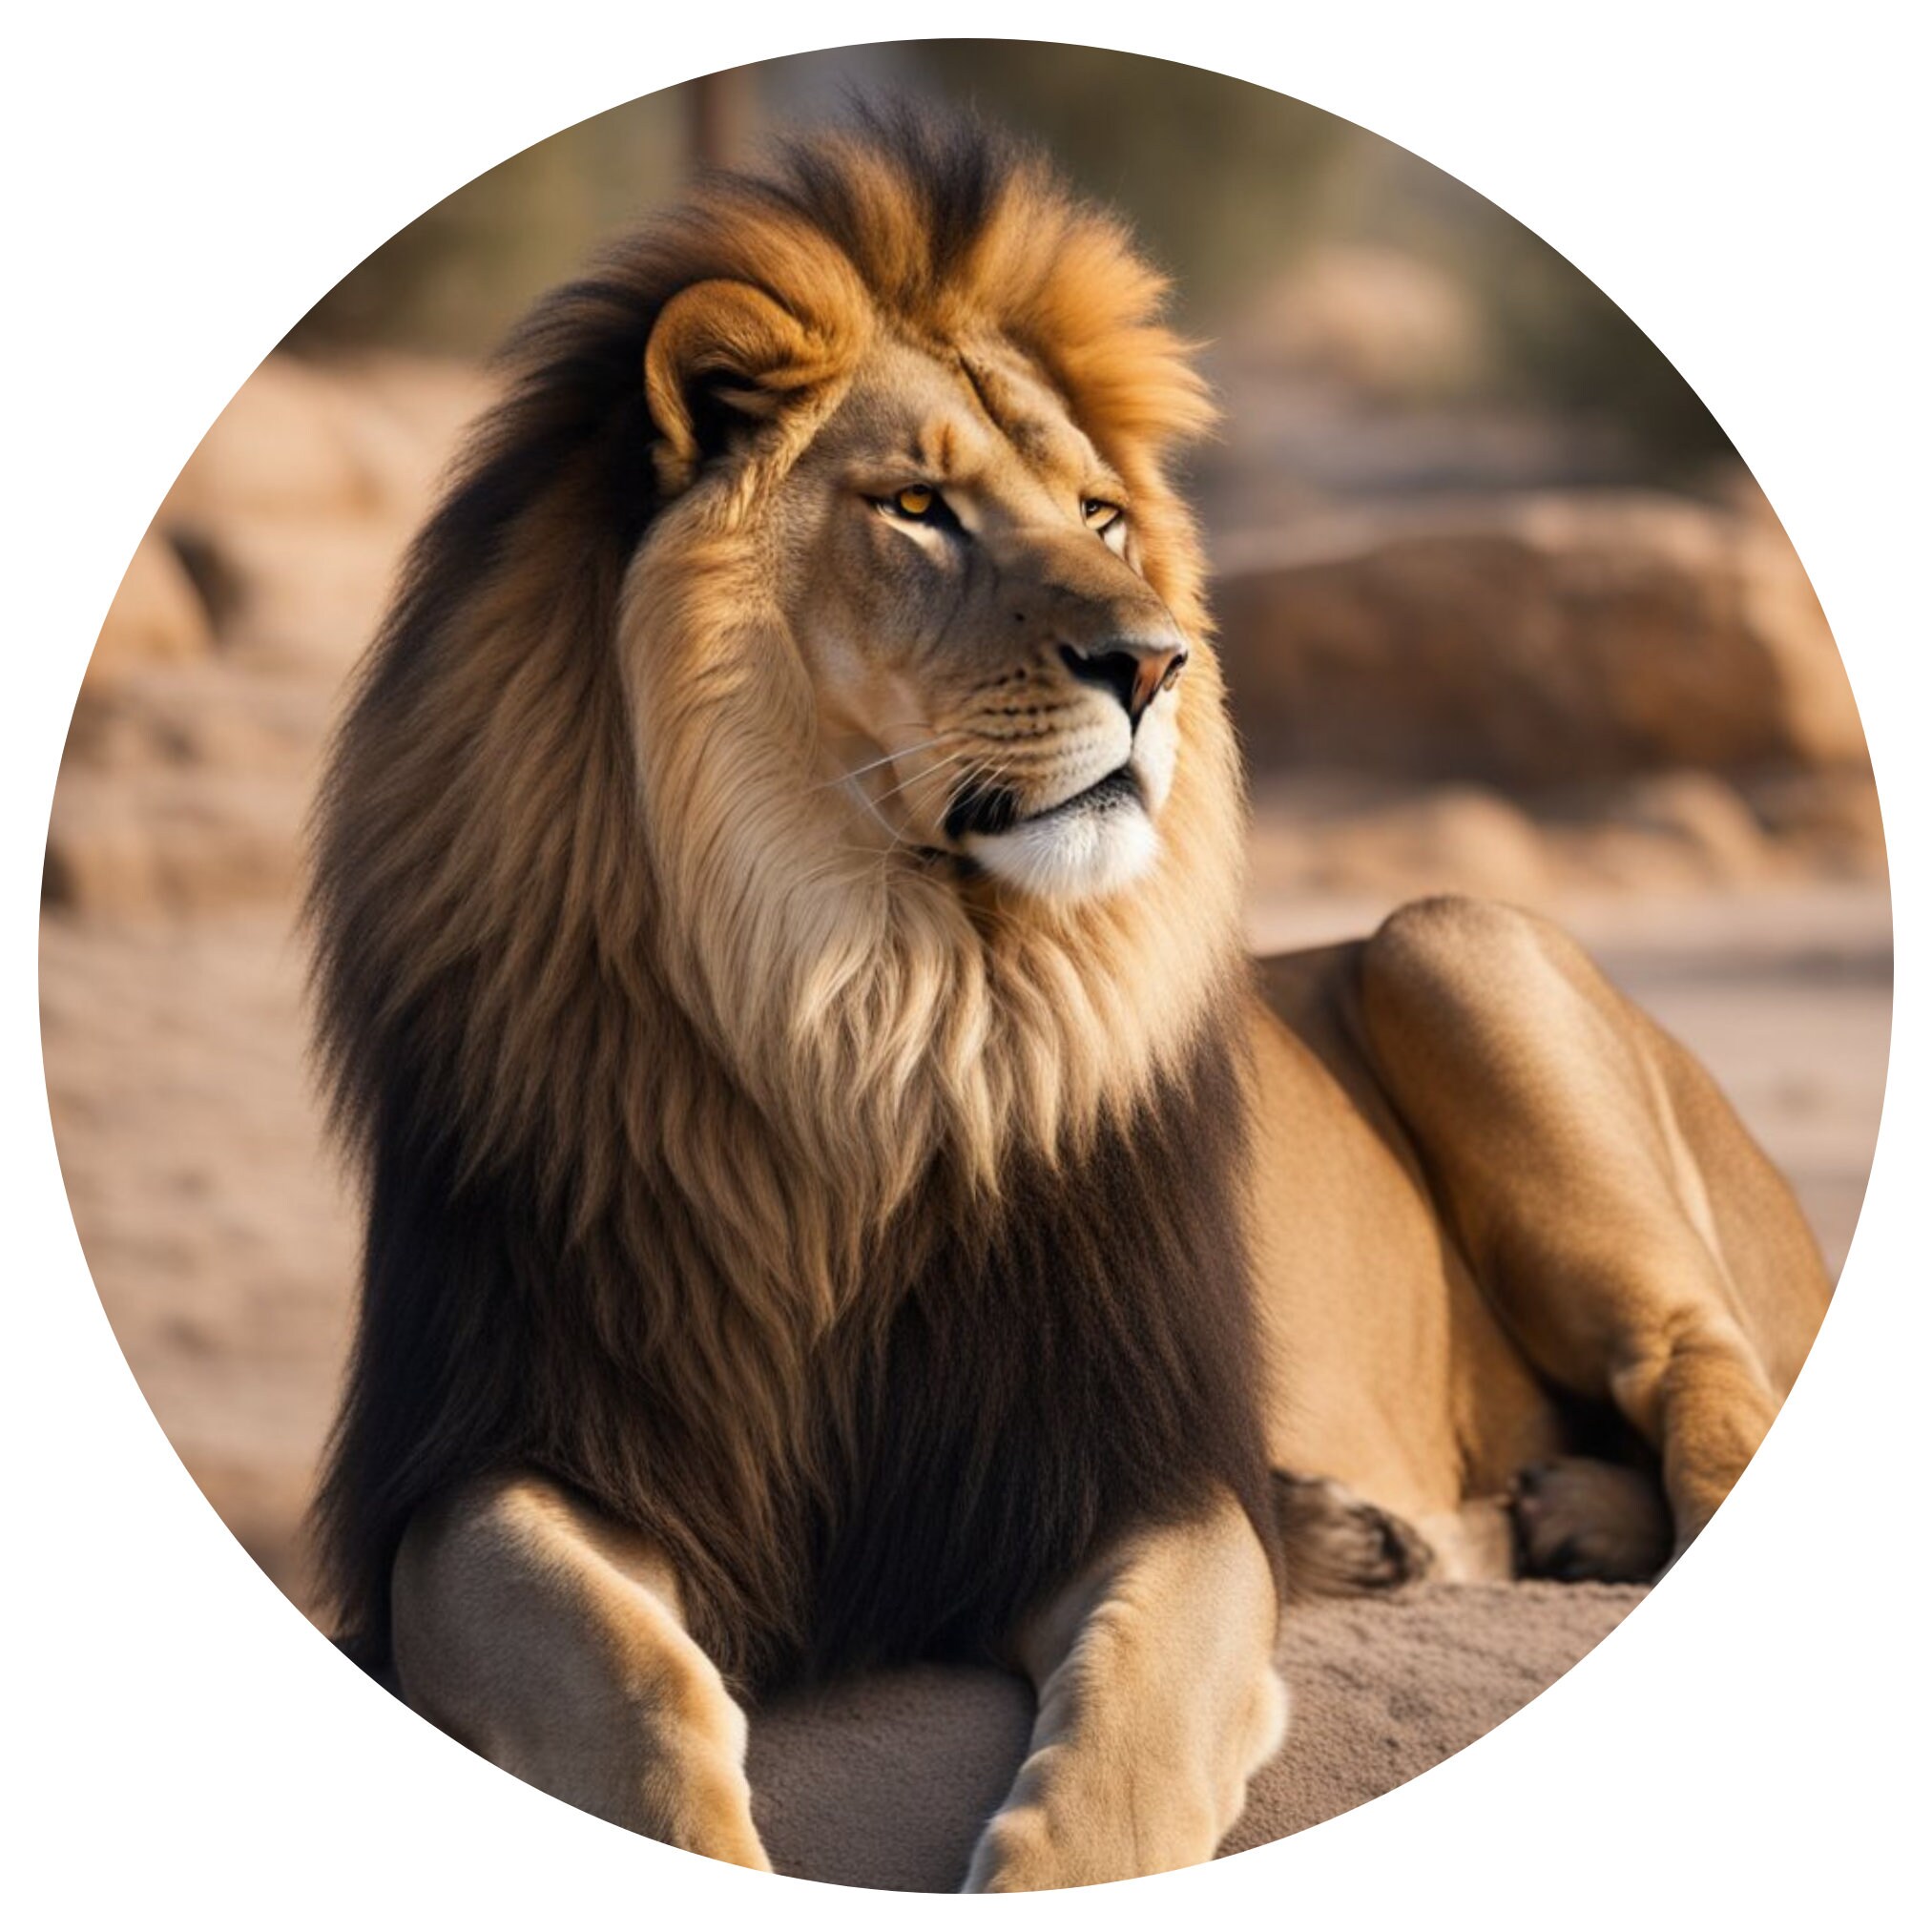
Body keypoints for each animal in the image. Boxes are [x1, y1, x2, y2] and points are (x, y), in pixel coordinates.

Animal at [308, 105, 1832, 1889]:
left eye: (1101, 518)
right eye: (916, 506)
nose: (1158, 662)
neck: (867, 1013)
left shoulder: (1141, 1473)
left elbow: (1120, 1753)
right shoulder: (490, 1461)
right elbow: (616, 1680)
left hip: (1450, 938)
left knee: (1705, 1371)